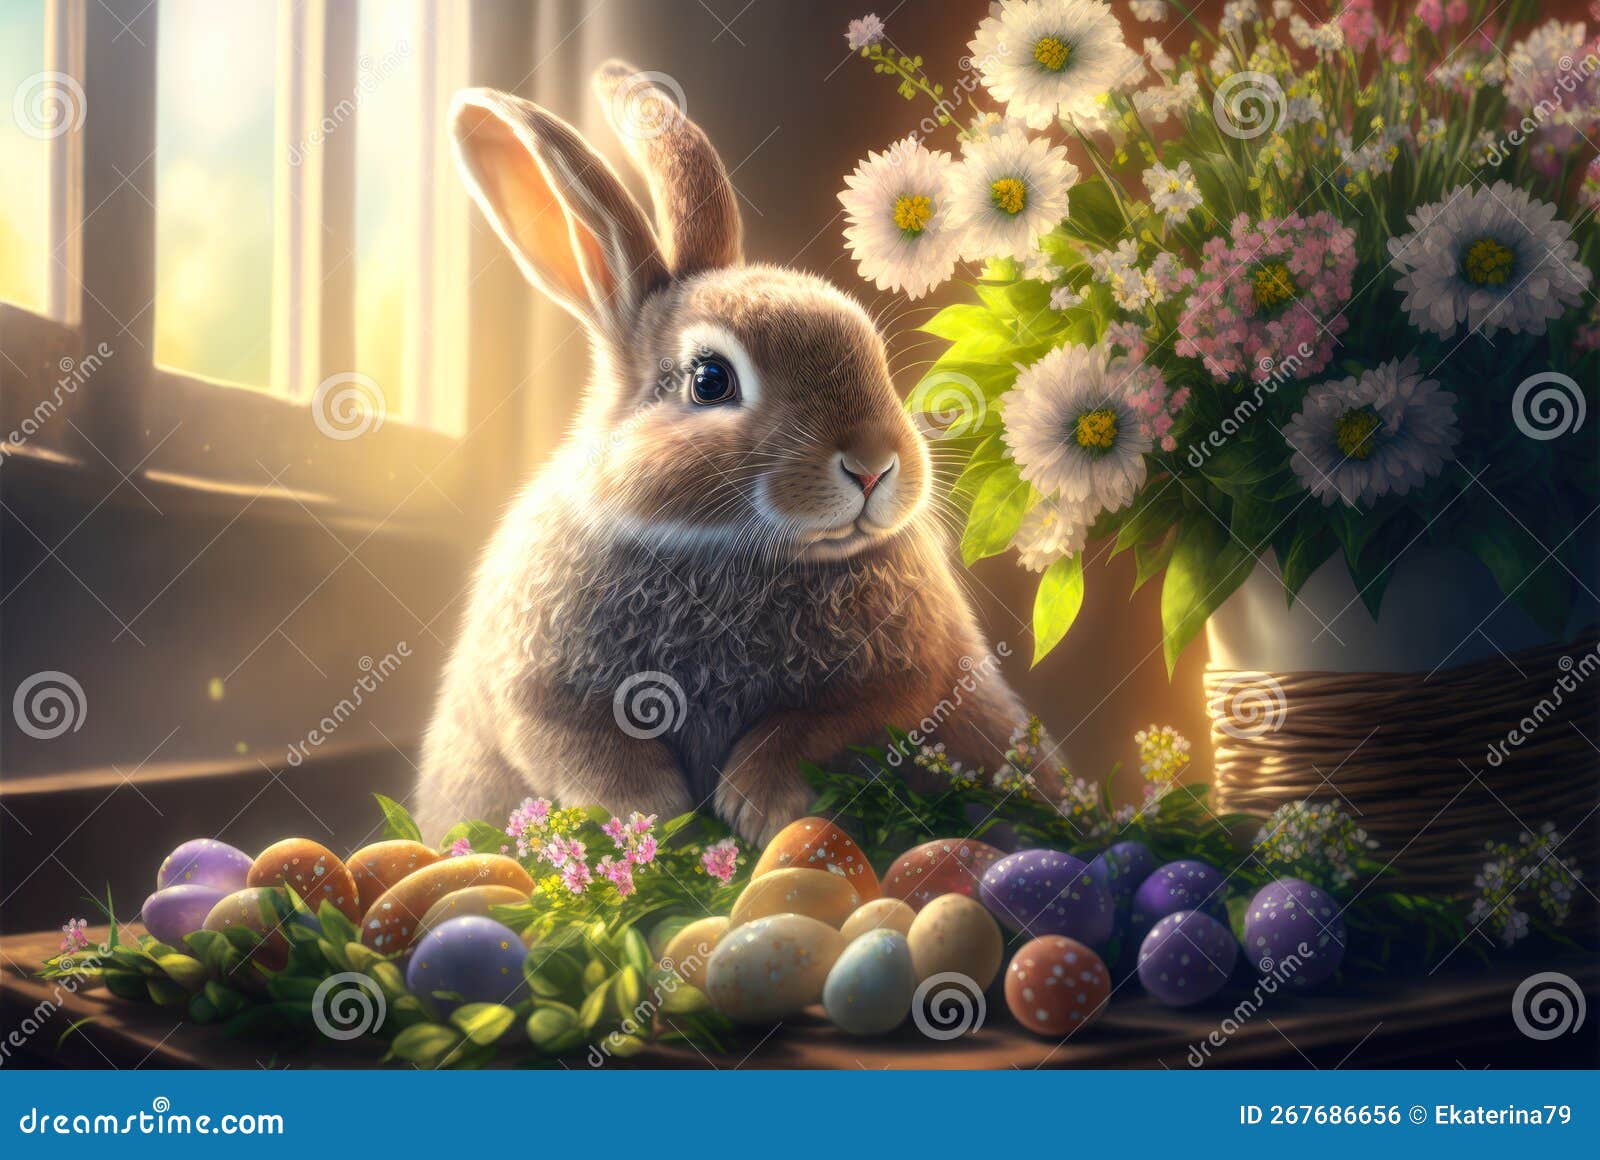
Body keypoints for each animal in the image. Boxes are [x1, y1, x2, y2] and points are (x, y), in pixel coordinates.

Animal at [416, 62, 1030, 847]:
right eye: (710, 380)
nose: (874, 465)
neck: (729, 548)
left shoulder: (906, 681)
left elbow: (822, 727)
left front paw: (754, 808)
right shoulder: (532, 690)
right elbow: (582, 749)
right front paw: (658, 818)